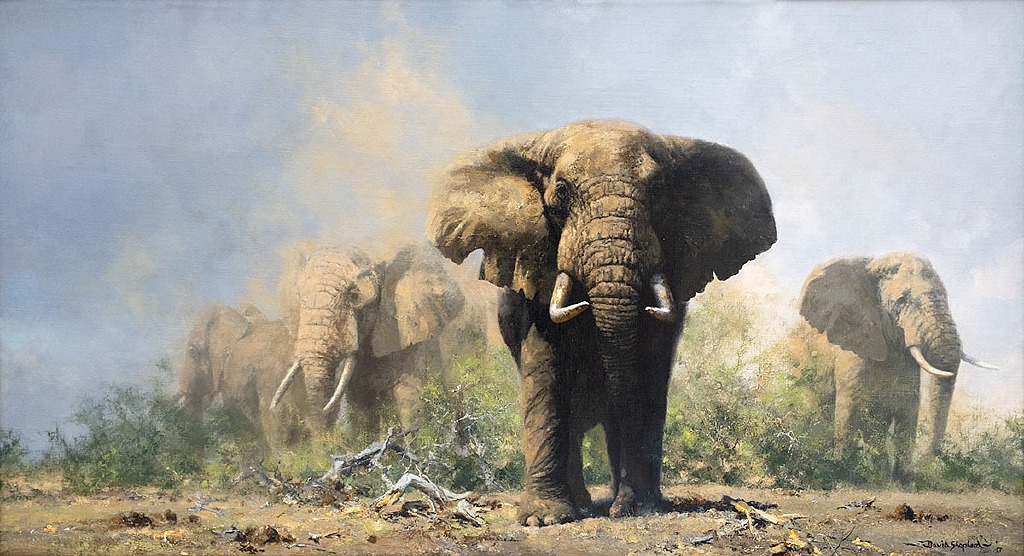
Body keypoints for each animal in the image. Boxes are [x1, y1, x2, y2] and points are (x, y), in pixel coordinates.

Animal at [425, 119, 777, 525]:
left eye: (658, 193)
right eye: (561, 192)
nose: (622, 508)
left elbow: (649, 374)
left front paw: (639, 510)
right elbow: (546, 373)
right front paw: (545, 519)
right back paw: (579, 505)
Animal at [798, 252, 997, 484]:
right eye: (901, 301)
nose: (916, 470)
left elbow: (907, 411)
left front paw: (901, 481)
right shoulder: (852, 348)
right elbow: (849, 410)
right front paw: (842, 473)